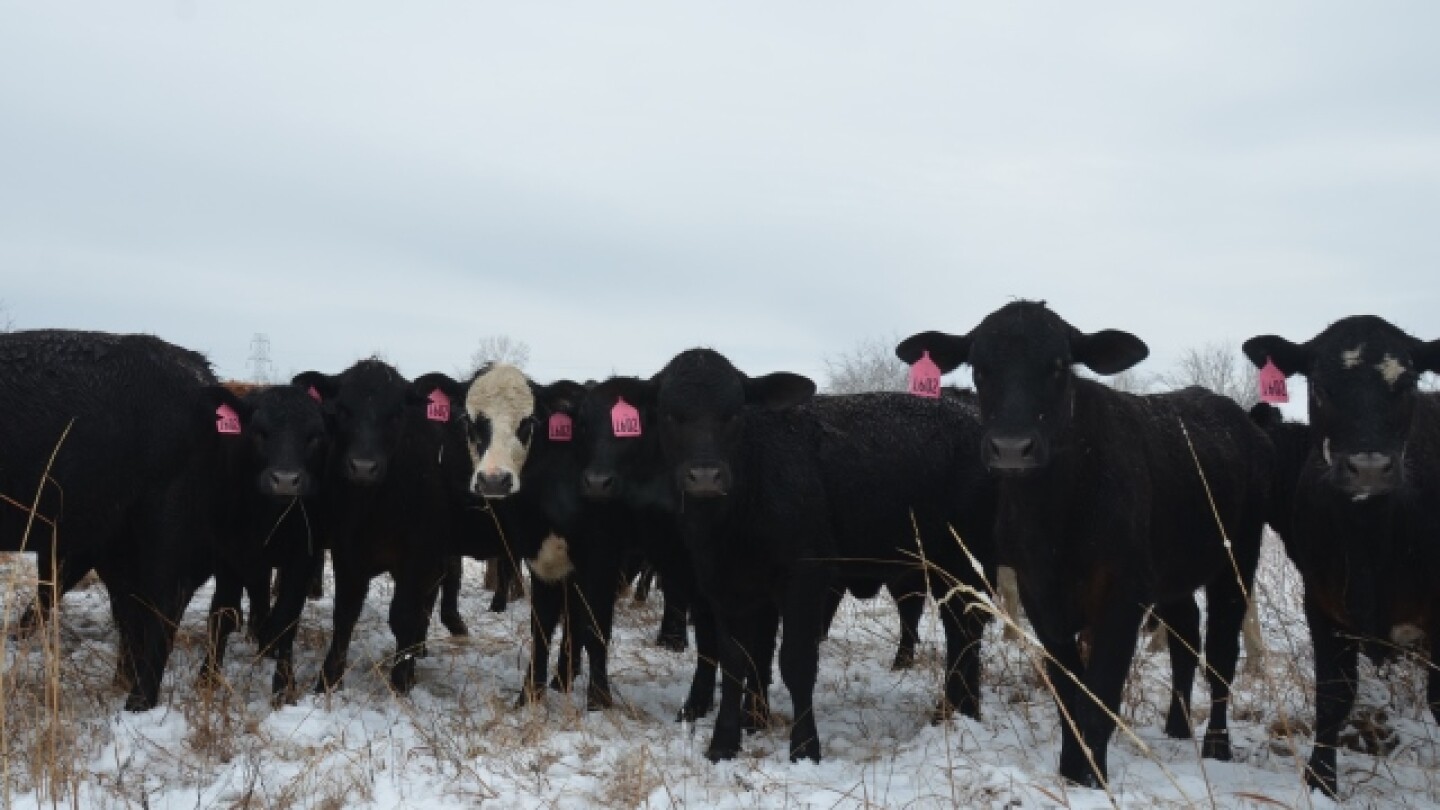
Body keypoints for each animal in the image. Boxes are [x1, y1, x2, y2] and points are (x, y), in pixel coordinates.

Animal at [0, 330, 237, 710]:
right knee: (131, 605)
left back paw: (139, 700)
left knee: (162, 603)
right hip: (115, 534)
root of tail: (201, 375)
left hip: (161, 520)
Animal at [899, 300, 1271, 789]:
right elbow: (1069, 692)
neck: (1056, 519)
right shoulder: (1039, 593)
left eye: (1059, 364)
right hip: (1173, 572)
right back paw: (1177, 725)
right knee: (1186, 633)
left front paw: (1091, 777)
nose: (1011, 449)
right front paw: (1071, 769)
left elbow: (1100, 695)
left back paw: (1216, 746)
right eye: (979, 366)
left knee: (1222, 653)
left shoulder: (1123, 593)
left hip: (1237, 557)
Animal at [1242, 316, 1440, 796]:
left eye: (1407, 382)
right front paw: (1321, 781)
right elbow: (1333, 696)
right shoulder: (1323, 604)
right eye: (1319, 384)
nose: (1368, 468)